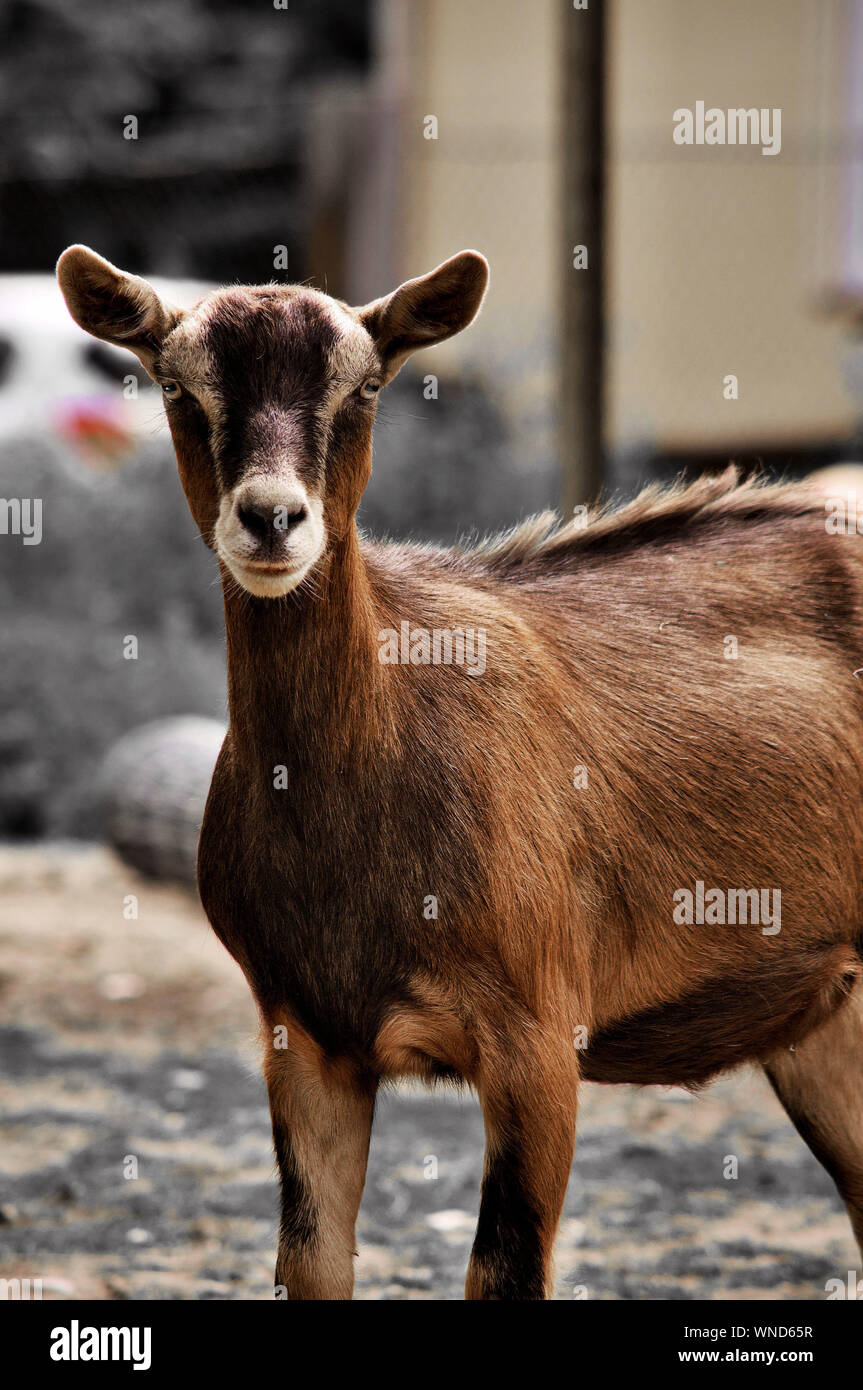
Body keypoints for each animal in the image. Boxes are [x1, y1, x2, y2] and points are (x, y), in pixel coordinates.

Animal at [57, 244, 863, 1300]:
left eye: (364, 386)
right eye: (174, 386)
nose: (271, 520)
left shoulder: (538, 1035)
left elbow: (502, 1269)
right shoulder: (305, 1035)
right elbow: (308, 1262)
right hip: (827, 1020)